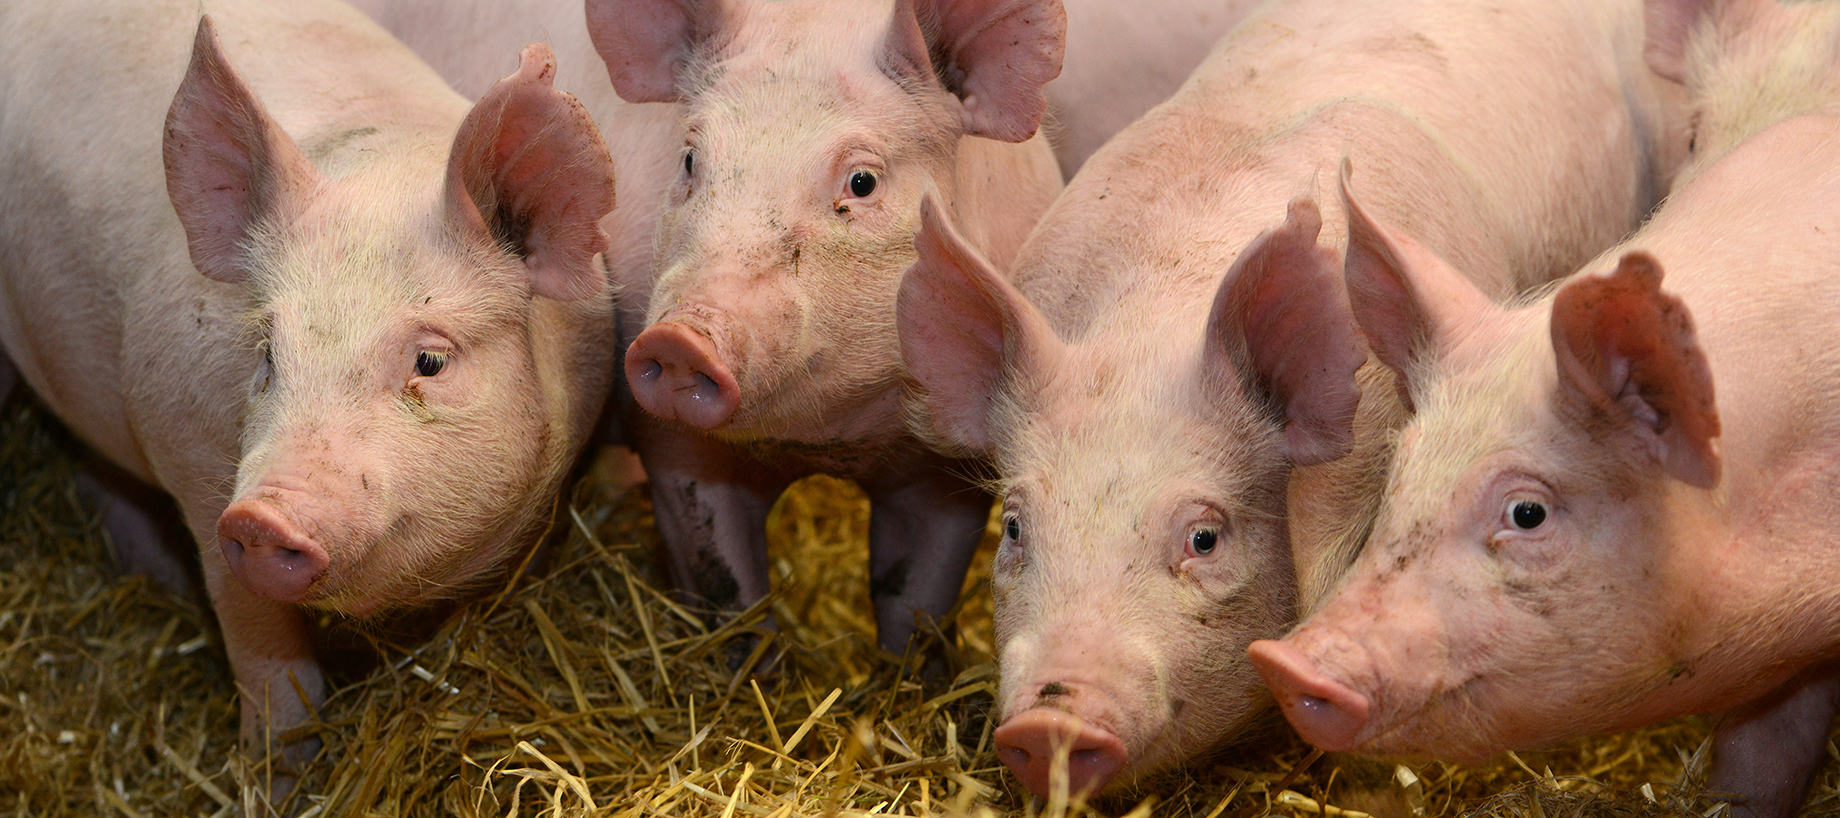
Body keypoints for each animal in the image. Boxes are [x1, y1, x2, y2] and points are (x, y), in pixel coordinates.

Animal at [0, 0, 617, 785]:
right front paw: (279, 778)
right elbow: (265, 654)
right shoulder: (195, 471)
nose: (264, 515)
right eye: (268, 352)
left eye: (430, 361)